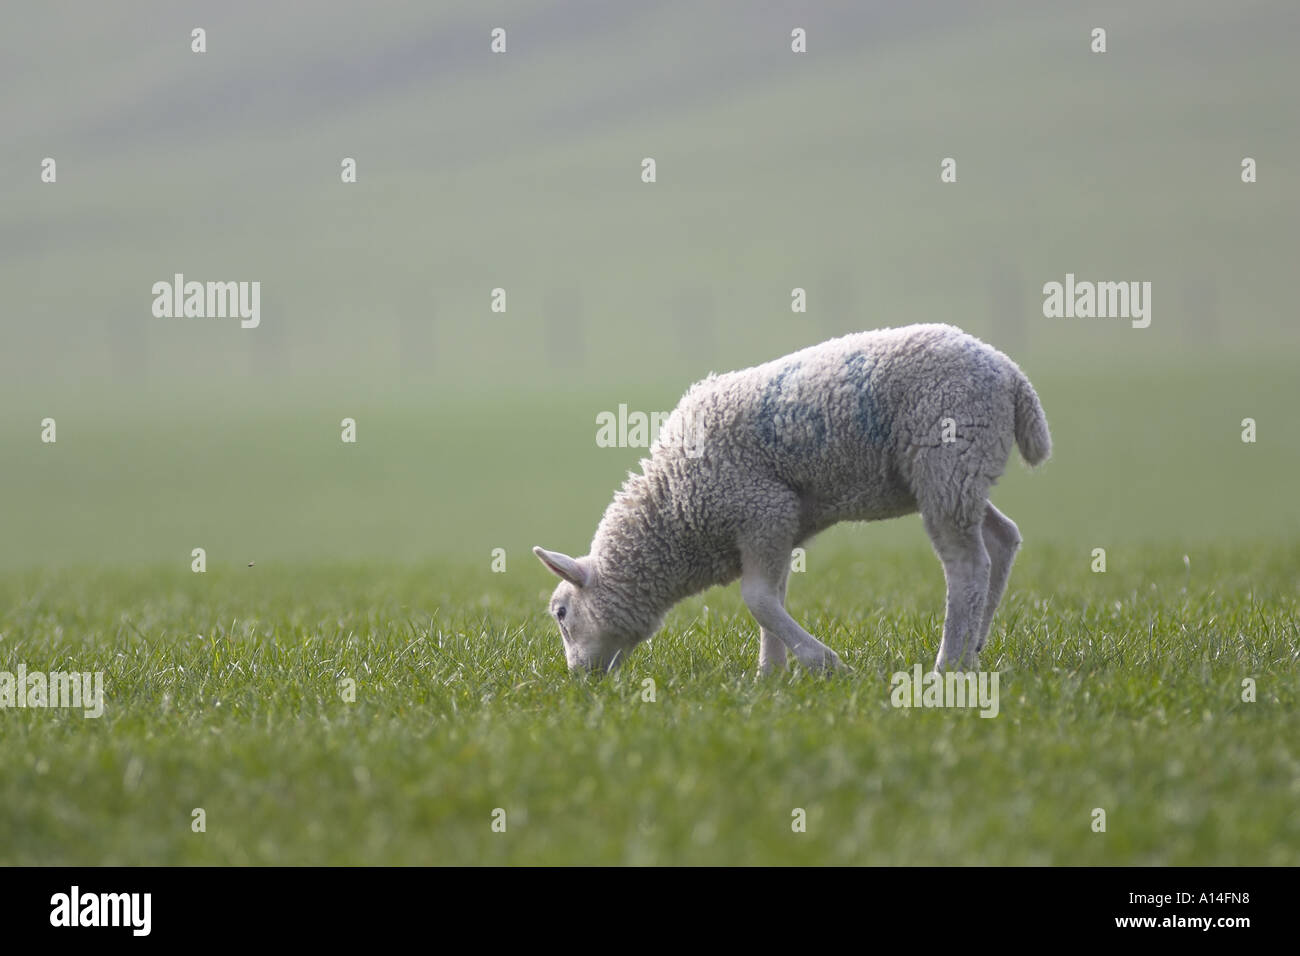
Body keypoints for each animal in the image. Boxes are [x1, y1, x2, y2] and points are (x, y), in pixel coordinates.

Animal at [534, 323, 1051, 675]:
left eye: (561, 614)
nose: (578, 679)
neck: (673, 508)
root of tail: (1011, 375)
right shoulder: (777, 526)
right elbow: (774, 595)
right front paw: (771, 675)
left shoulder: (762, 508)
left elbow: (758, 598)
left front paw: (824, 663)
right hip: (955, 472)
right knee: (1002, 537)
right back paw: (976, 644)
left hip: (948, 458)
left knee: (966, 565)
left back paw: (950, 662)